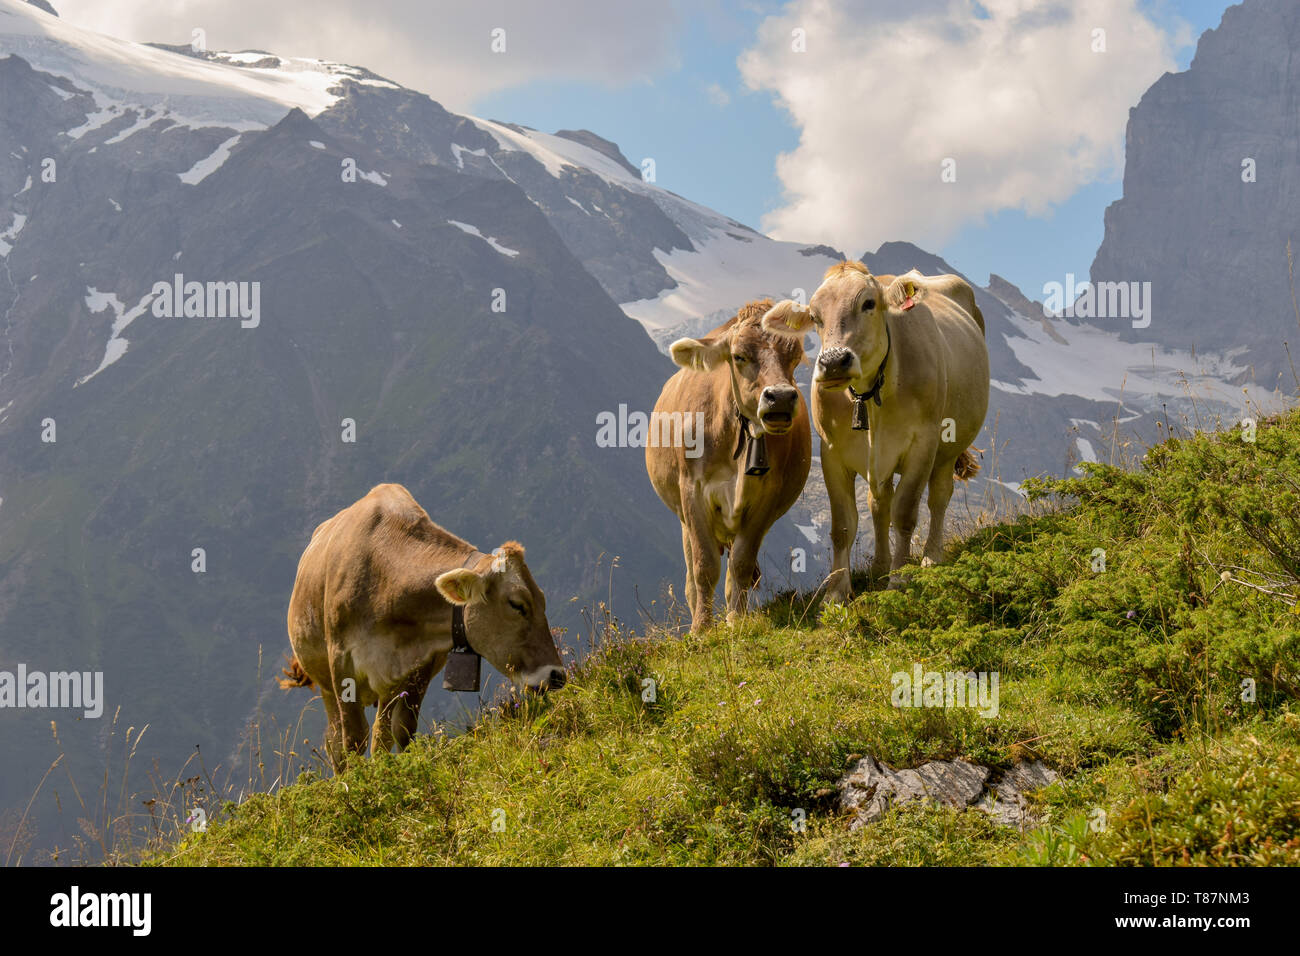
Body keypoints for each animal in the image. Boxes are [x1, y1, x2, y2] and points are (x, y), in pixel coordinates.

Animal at [280, 483, 566, 768]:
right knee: (335, 743)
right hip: (326, 683)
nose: (557, 675)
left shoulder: (419, 665)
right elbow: (353, 739)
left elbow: (400, 729)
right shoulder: (342, 664)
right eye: (517, 604)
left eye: (542, 600)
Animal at [647, 299, 812, 632]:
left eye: (794, 356)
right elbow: (704, 567)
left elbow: (741, 565)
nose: (781, 398)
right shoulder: (692, 492)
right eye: (739, 356)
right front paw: (701, 629)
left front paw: (736, 621)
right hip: (683, 517)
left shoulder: (765, 499)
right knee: (690, 577)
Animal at [763, 263, 989, 599]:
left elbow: (905, 513)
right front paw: (836, 592)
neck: (870, 393)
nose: (833, 362)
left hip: (948, 448)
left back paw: (931, 557)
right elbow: (843, 525)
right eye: (815, 316)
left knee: (938, 497)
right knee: (879, 503)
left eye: (868, 303)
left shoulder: (923, 444)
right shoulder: (831, 452)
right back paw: (881, 566)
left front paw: (900, 579)